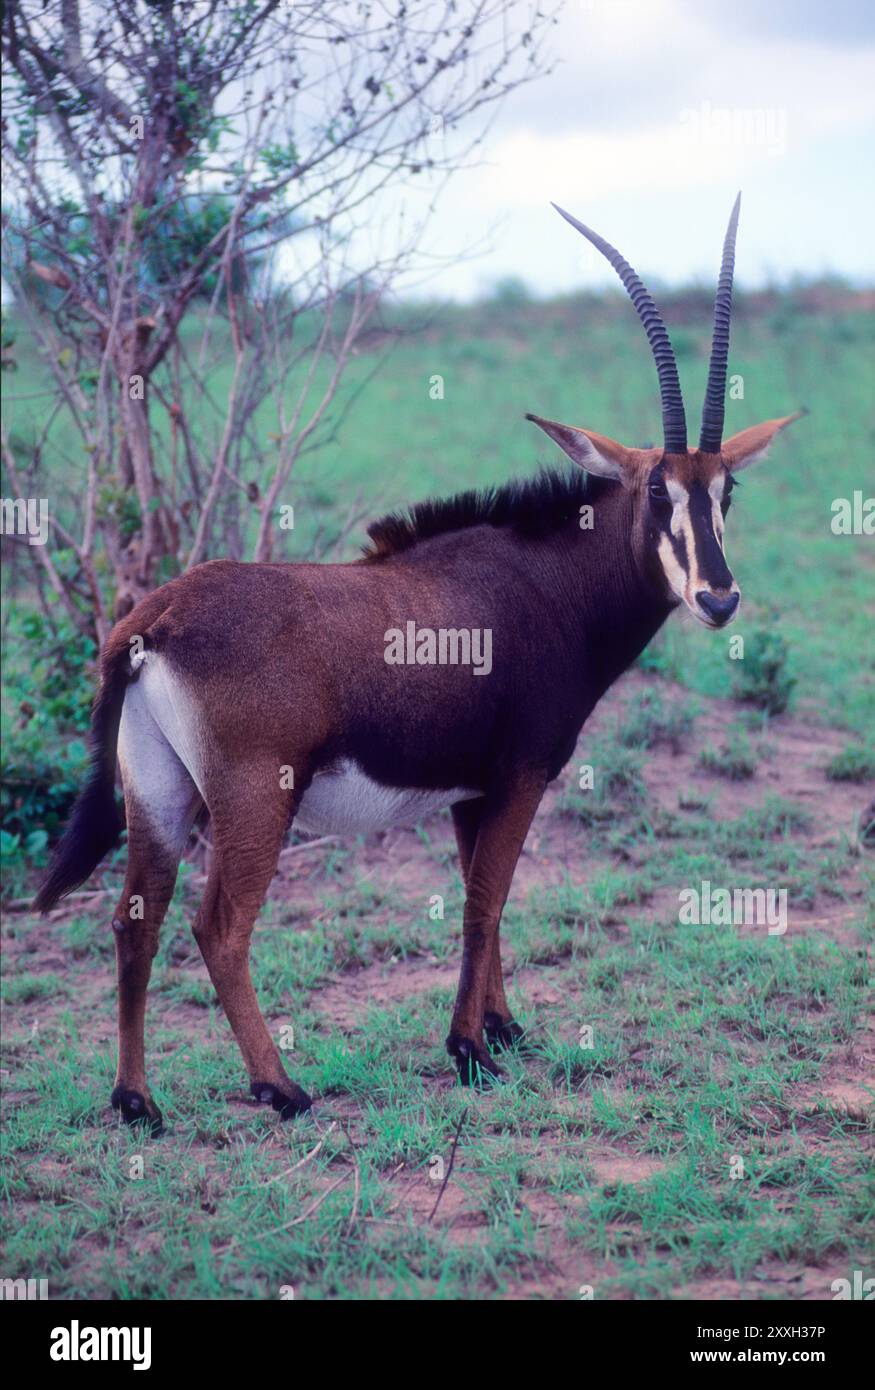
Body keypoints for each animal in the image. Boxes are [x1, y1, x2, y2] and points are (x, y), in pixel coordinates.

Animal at [36, 195, 801, 1129]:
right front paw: (469, 1050)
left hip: (156, 792)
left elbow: (488, 902)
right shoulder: (520, 775)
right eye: (657, 490)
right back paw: (280, 1086)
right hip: (255, 800)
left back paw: (136, 1101)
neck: (544, 581)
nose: (717, 598)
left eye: (726, 490)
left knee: (133, 921)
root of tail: (158, 615)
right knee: (218, 926)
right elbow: (482, 905)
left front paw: (503, 1028)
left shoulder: (471, 793)